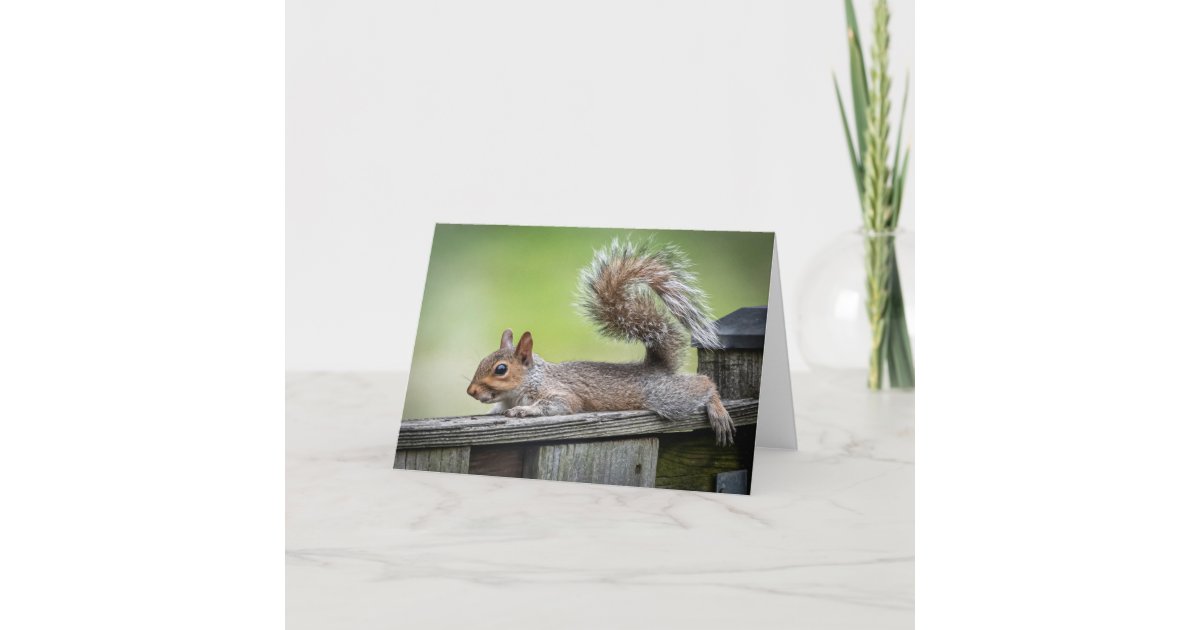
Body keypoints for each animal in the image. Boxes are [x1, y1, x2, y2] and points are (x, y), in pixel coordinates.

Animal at [465, 239, 736, 446]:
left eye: (501, 369)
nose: (471, 391)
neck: (526, 382)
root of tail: (655, 367)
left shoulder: (560, 392)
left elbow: (560, 403)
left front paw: (524, 410)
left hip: (664, 396)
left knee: (702, 384)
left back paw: (717, 409)